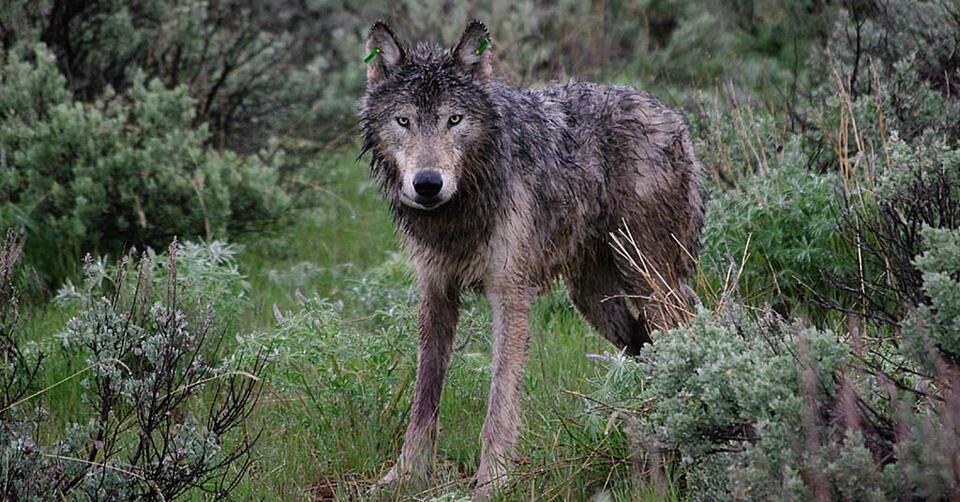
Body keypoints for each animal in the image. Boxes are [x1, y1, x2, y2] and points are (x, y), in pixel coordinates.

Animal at [359, 20, 704, 493]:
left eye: (454, 119)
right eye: (404, 121)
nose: (427, 183)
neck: (462, 211)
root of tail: (673, 116)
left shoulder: (511, 295)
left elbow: (501, 398)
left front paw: (493, 482)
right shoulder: (436, 293)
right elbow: (423, 400)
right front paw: (405, 476)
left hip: (648, 283)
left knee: (683, 336)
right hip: (595, 301)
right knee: (643, 345)